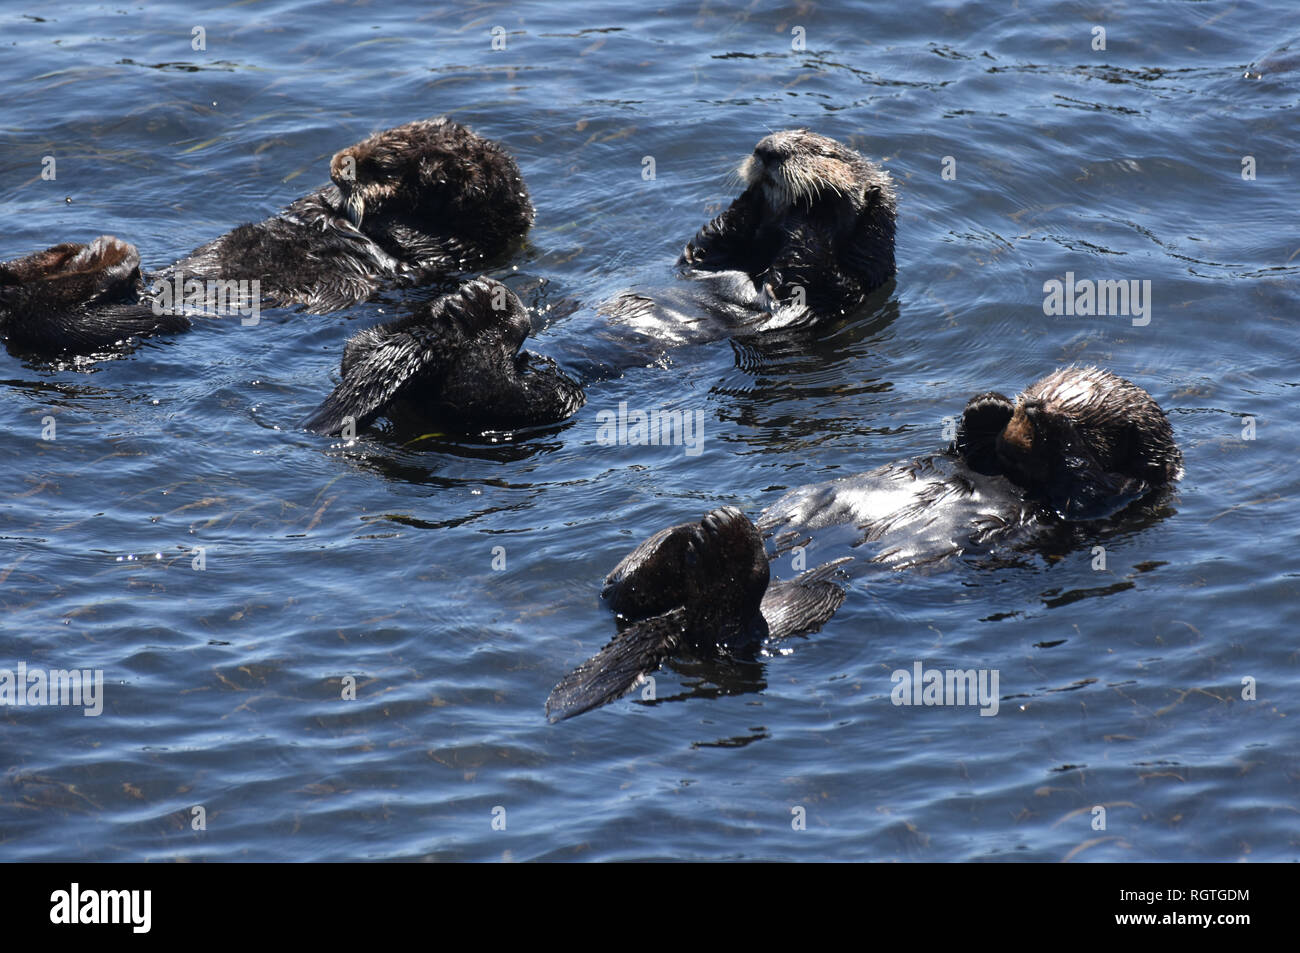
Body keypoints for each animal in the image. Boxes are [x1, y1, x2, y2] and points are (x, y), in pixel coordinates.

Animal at [0, 118, 533, 356]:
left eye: (380, 163)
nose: (336, 163)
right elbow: (312, 212)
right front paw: (328, 207)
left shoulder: (452, 250)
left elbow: (407, 243)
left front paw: (356, 212)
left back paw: (109, 257)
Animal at [759, 366, 1183, 569]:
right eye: (1030, 390)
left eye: (1086, 425)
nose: (1031, 404)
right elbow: (970, 449)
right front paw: (991, 405)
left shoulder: (1123, 493)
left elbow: (1082, 489)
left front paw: (1051, 424)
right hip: (802, 501)